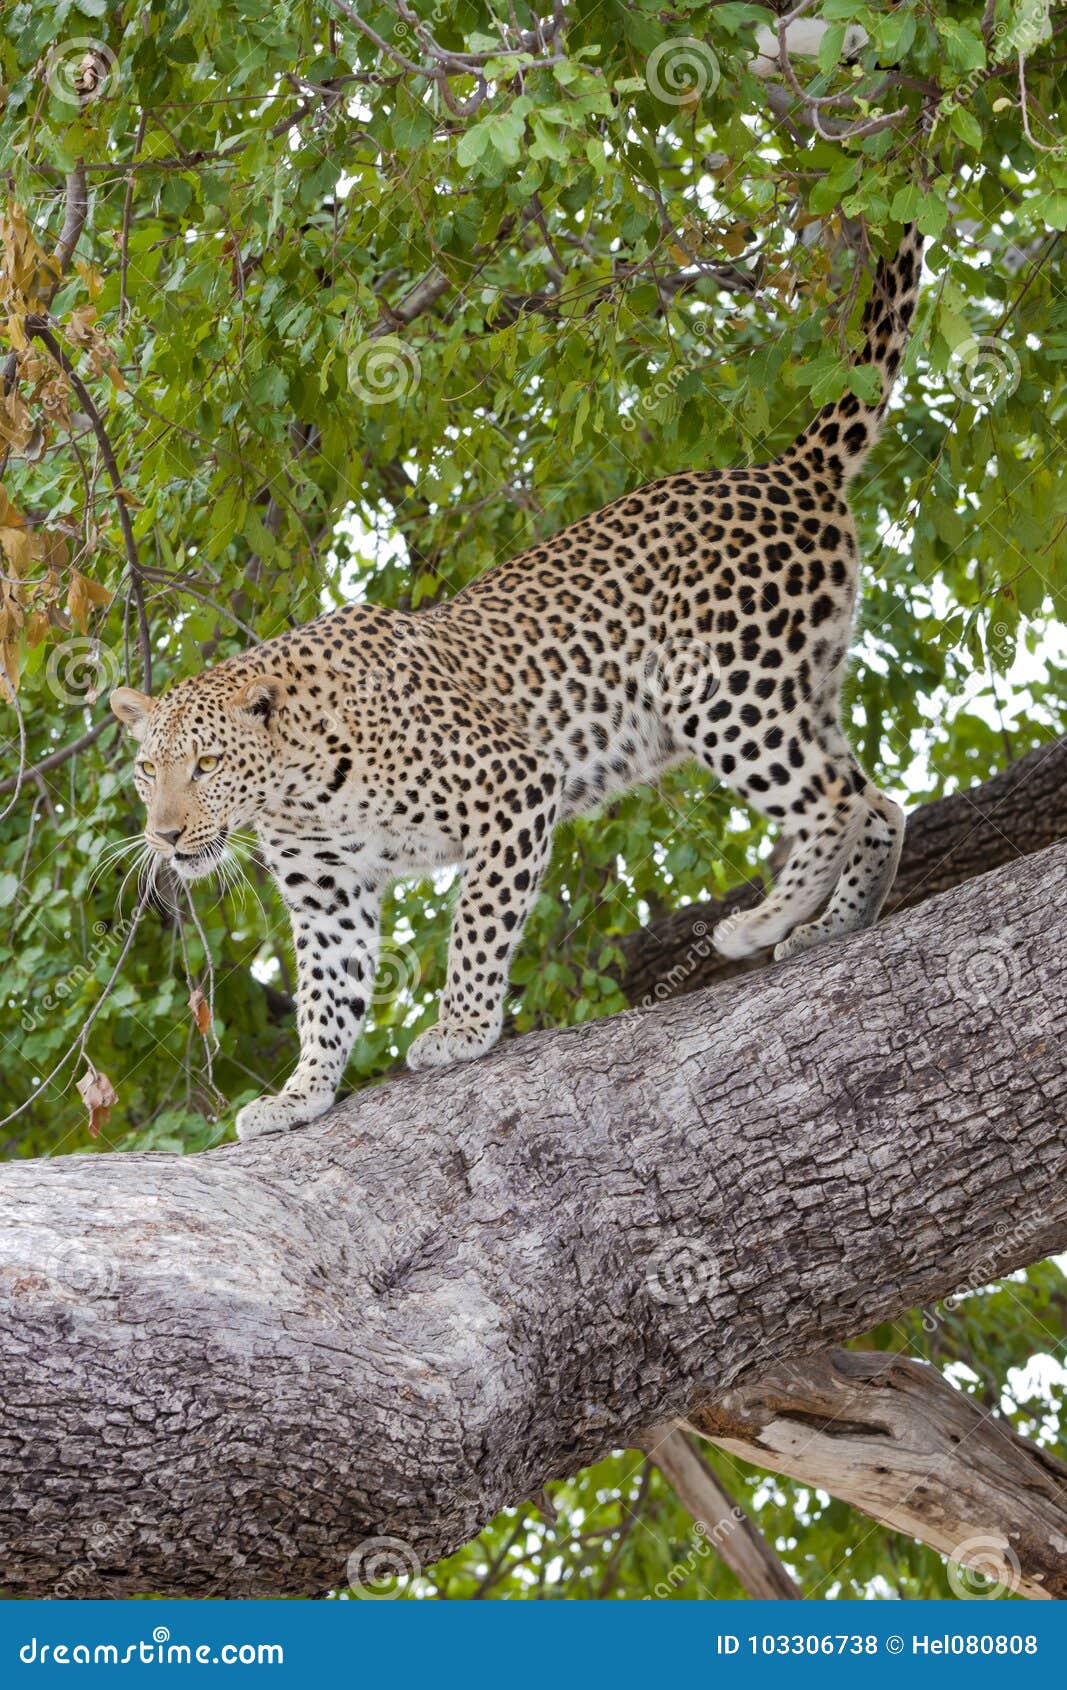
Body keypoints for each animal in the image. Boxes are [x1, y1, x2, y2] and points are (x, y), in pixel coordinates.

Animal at [110, 223, 924, 1142]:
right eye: (147, 770)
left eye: (207, 765)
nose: (164, 837)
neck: (292, 789)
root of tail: (783, 472)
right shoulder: (327, 894)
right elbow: (329, 993)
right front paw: (301, 1093)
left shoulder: (512, 786)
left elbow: (477, 922)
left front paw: (461, 1028)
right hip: (798, 683)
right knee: (876, 799)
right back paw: (833, 926)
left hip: (725, 690)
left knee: (829, 799)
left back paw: (762, 922)